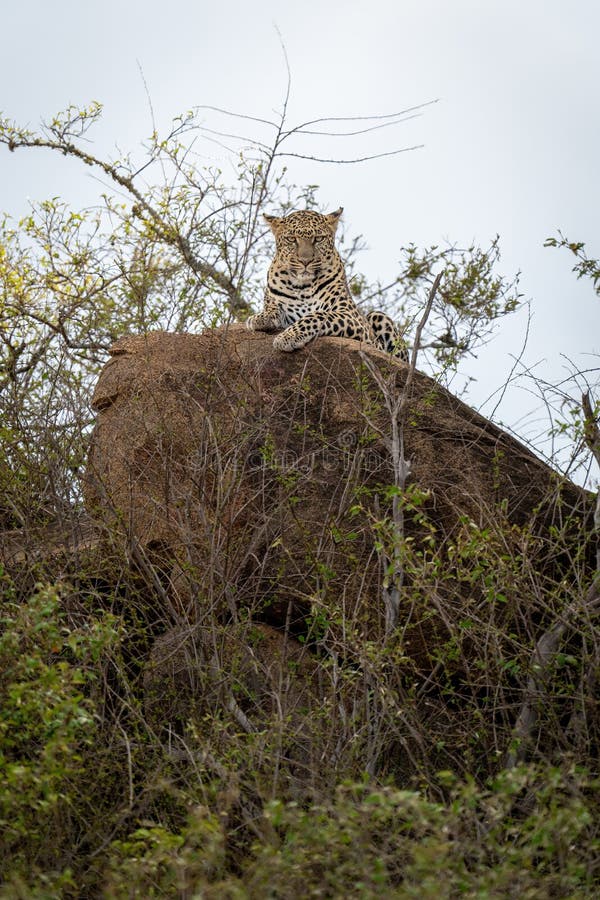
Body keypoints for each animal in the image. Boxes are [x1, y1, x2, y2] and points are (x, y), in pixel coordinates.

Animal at [246, 207, 408, 360]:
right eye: (291, 239)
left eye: (319, 238)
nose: (305, 261)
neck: (303, 286)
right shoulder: (278, 304)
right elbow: (273, 309)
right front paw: (260, 318)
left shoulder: (350, 316)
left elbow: (318, 315)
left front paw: (288, 336)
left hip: (378, 316)